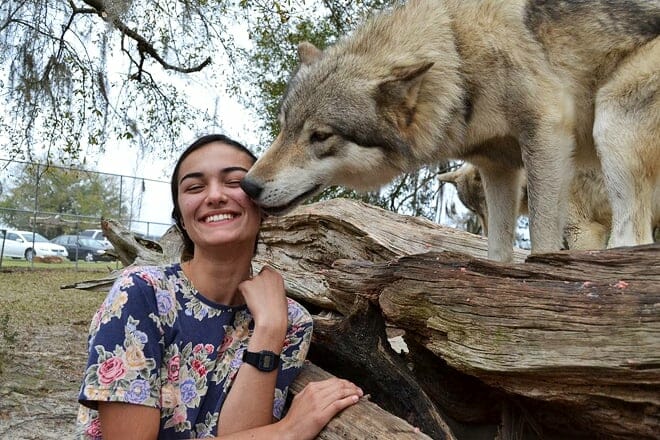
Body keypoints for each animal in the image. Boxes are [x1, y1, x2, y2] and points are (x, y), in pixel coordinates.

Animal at [241, 0, 660, 262]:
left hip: (612, 123)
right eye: (284, 127)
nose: (248, 186)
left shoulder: (548, 135)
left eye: (320, 136)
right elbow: (497, 254)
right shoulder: (499, 169)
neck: (459, 53)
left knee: (633, 240)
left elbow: (541, 244)